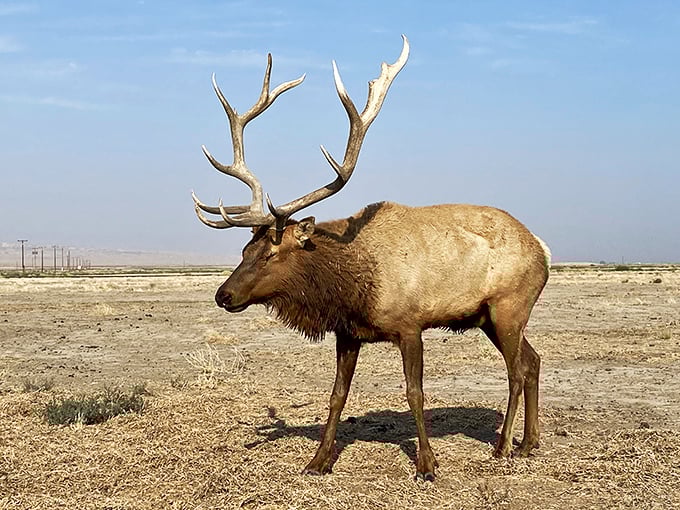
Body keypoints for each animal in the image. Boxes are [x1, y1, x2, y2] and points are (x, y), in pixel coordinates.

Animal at [191, 36, 551, 482]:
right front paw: (318, 460)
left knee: (517, 369)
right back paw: (529, 442)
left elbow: (415, 393)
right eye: (245, 249)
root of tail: (543, 249)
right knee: (533, 360)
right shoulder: (348, 333)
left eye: (273, 251)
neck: (353, 284)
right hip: (488, 317)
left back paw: (503, 446)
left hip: (509, 306)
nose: (223, 295)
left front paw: (427, 464)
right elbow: (337, 396)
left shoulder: (410, 325)